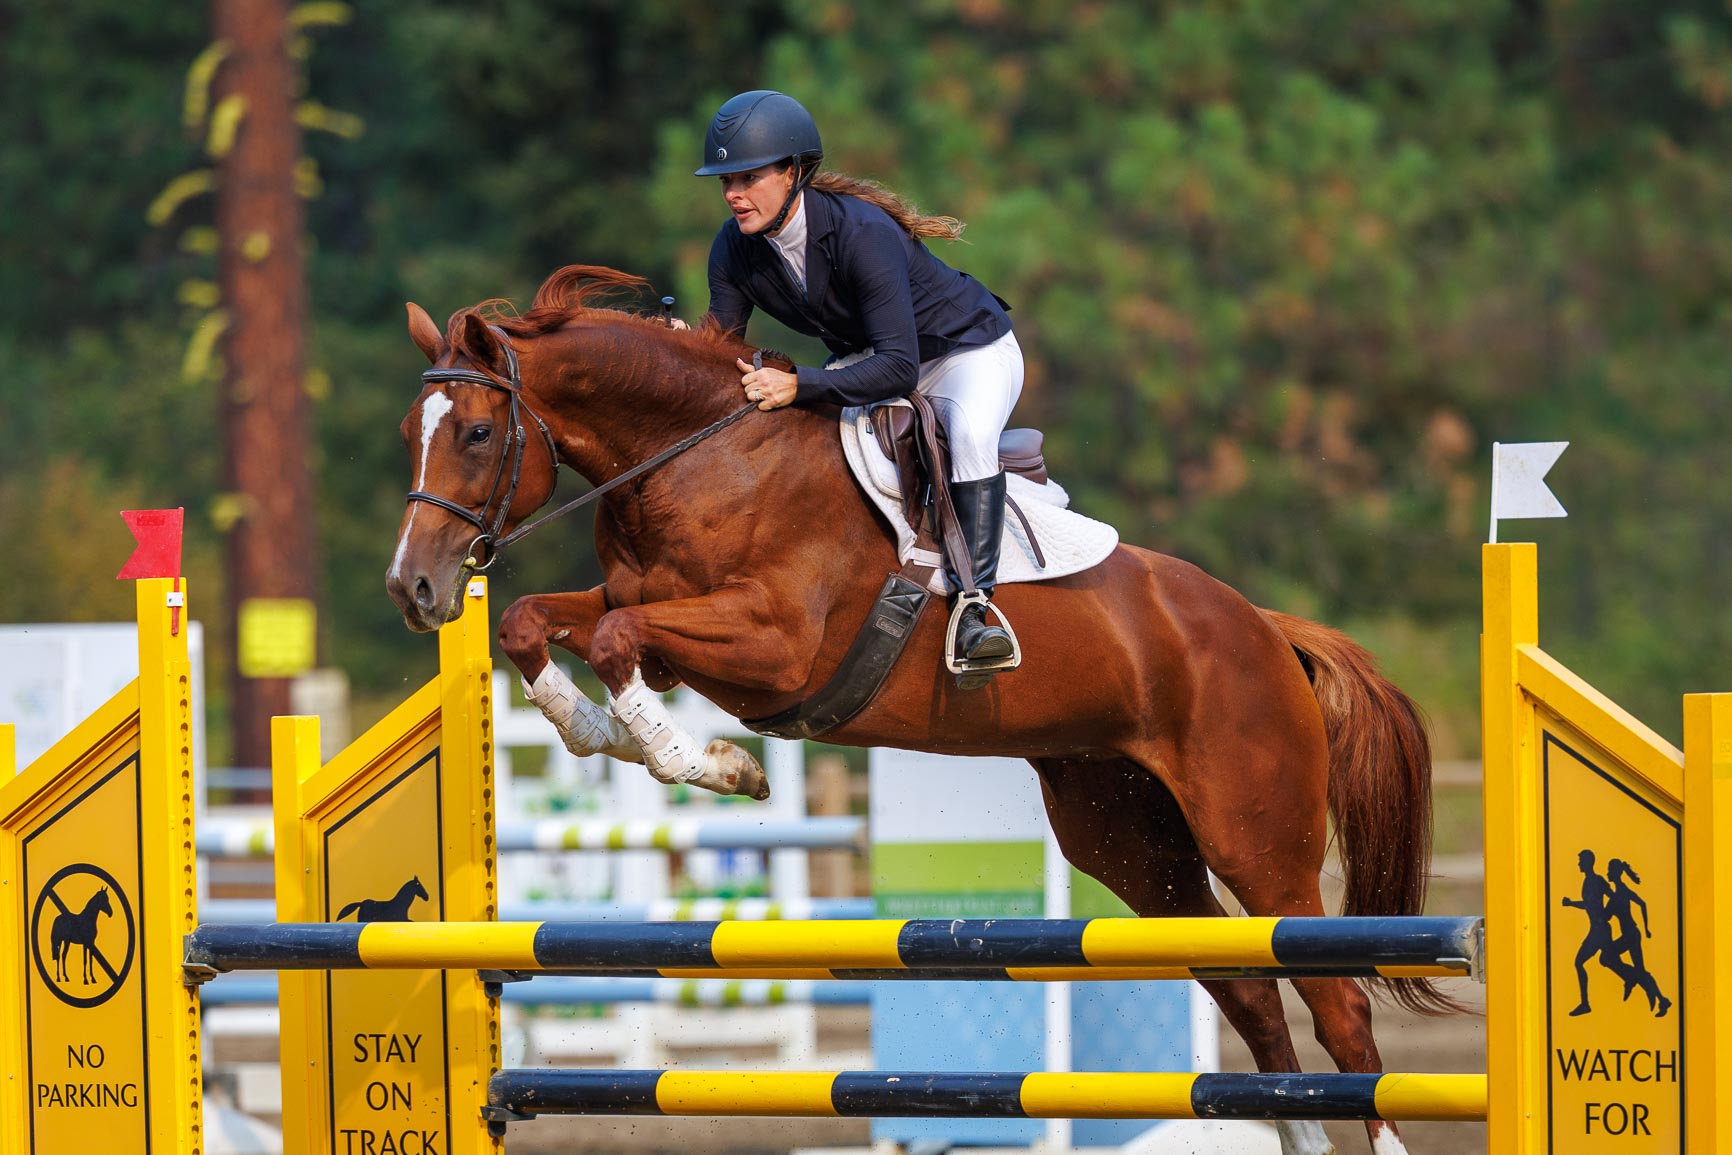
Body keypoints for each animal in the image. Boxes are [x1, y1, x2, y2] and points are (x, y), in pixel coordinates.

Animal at [386, 265, 1447, 1155]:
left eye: (475, 433)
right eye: (410, 435)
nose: (416, 588)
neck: (699, 458)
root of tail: (1265, 628)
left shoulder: (769, 644)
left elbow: (613, 643)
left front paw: (713, 765)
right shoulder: (639, 600)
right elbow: (531, 621)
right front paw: (602, 734)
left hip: (1256, 838)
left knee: (1339, 1010)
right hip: (1131, 839)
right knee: (1251, 996)